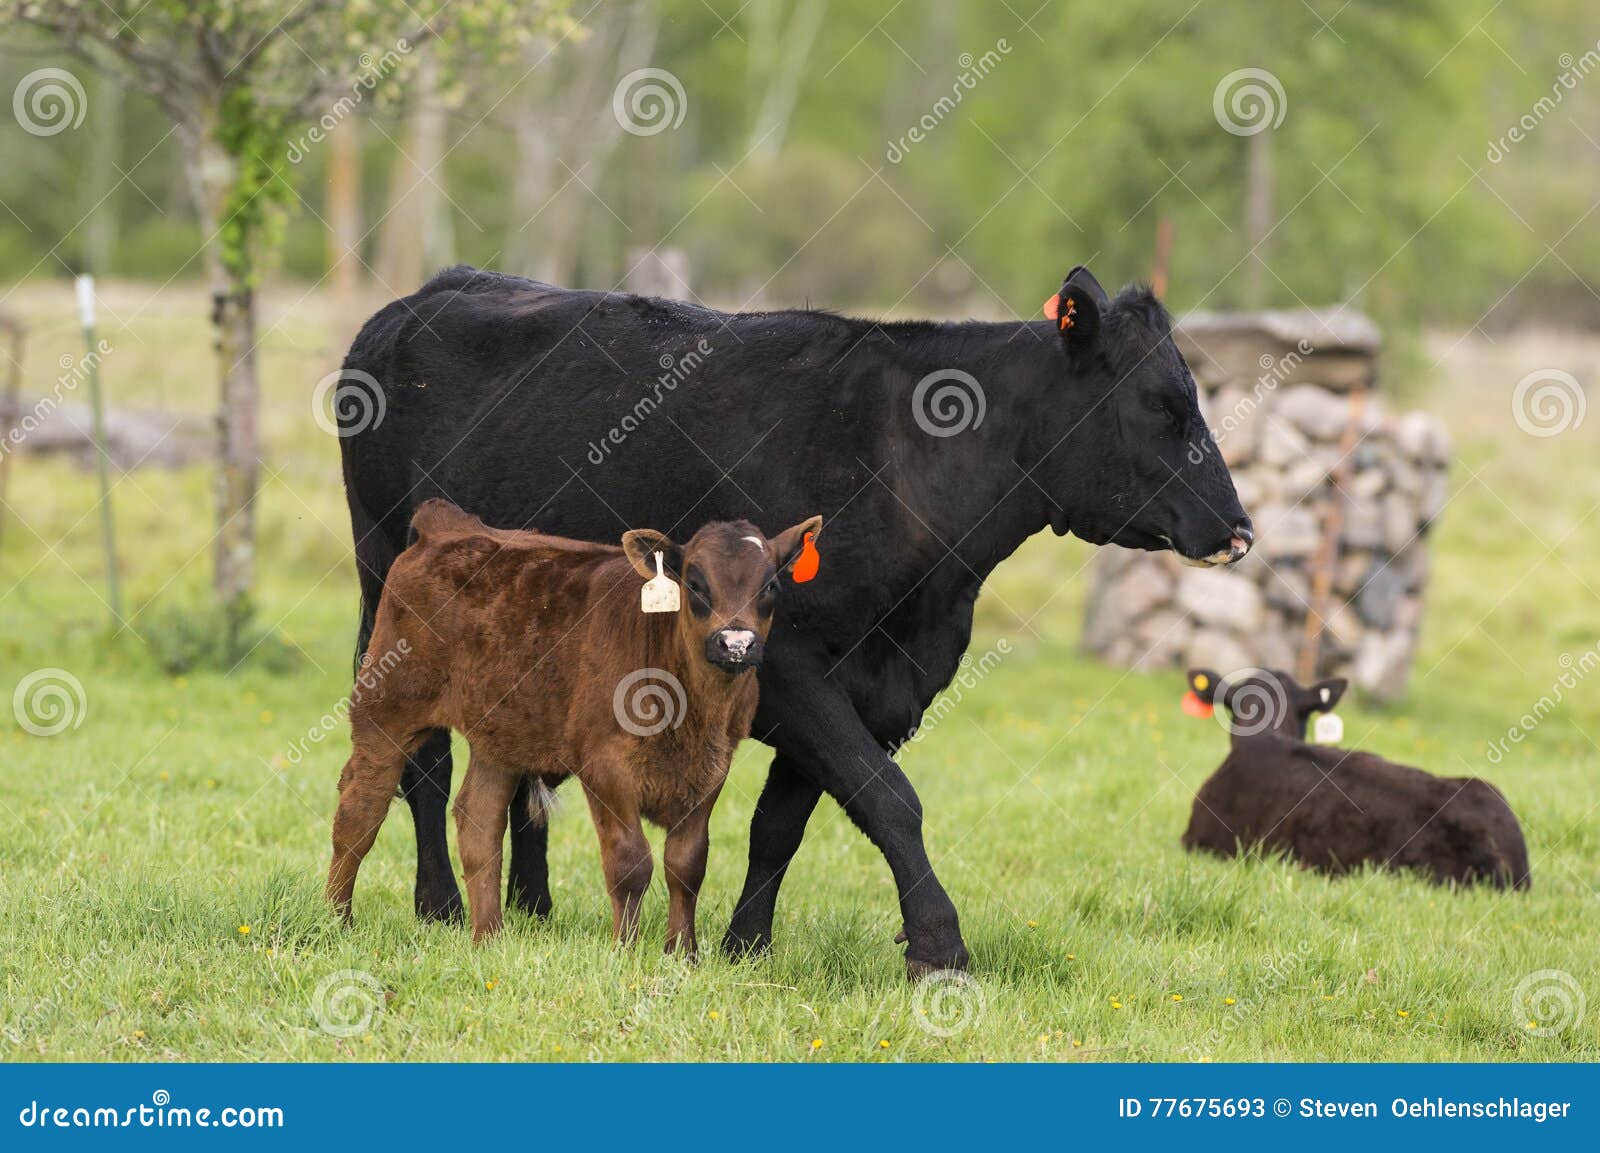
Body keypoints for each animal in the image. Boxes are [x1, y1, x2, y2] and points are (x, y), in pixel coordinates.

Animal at [326, 499, 823, 951]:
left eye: (771, 585)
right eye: (696, 583)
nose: (736, 643)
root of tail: (445, 526)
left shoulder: (714, 767)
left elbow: (687, 864)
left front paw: (683, 955)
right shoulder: (604, 764)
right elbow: (631, 862)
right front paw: (625, 951)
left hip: (500, 732)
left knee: (478, 820)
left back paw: (490, 939)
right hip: (386, 706)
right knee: (360, 812)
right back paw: (337, 922)